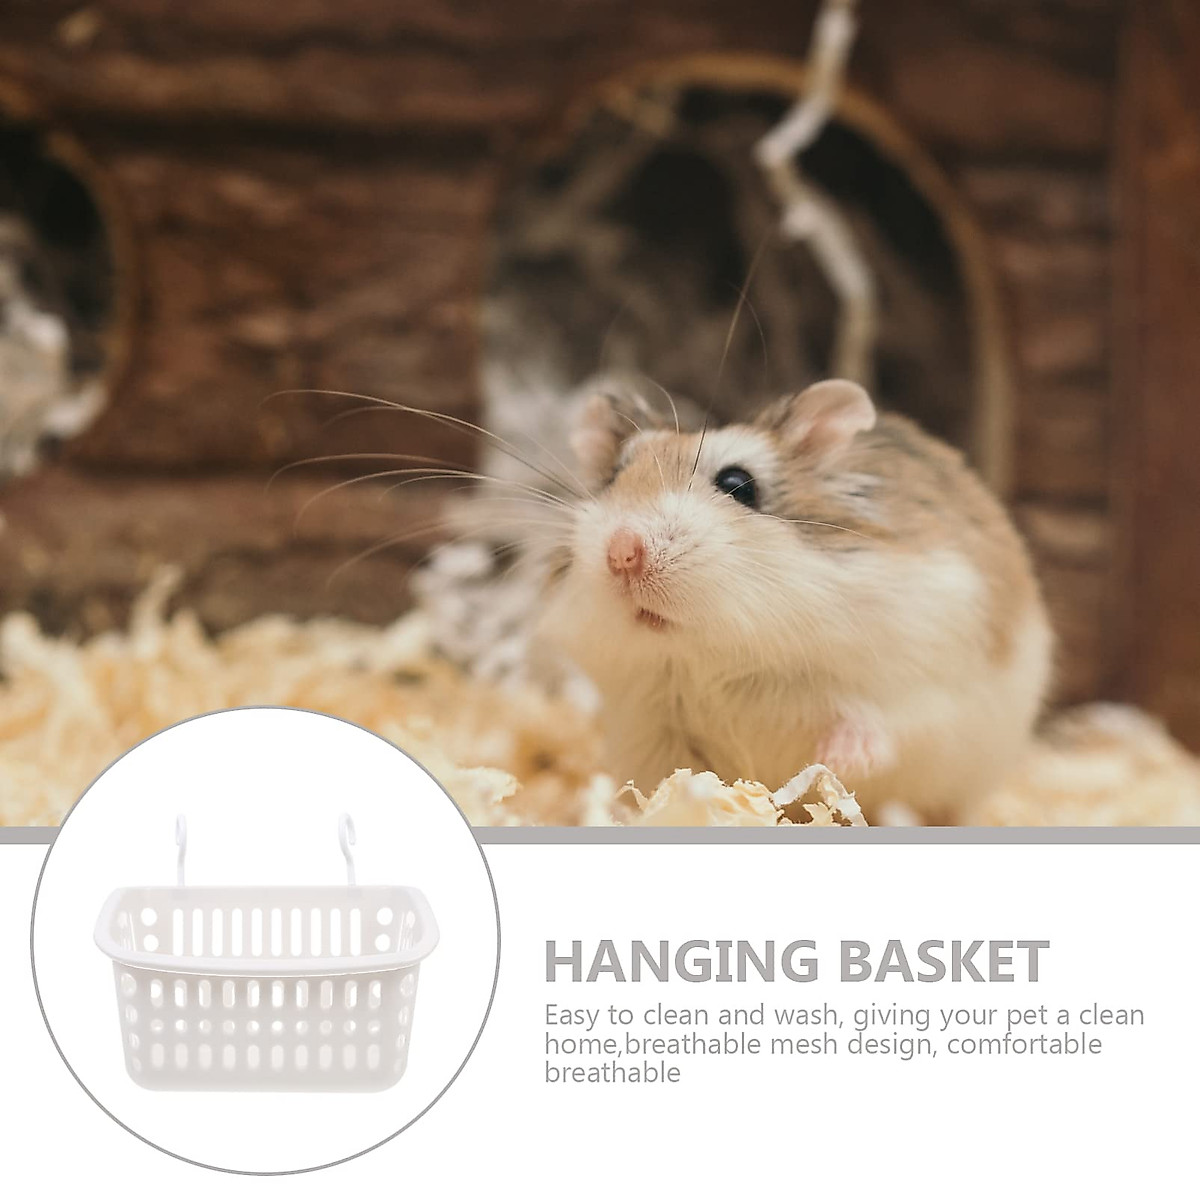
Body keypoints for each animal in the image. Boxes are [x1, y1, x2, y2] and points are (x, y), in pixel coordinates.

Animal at [536, 379, 1053, 823]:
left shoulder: (918, 683)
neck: (716, 655)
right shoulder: (652, 727)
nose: (622, 553)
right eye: (613, 478)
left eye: (738, 484)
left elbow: (879, 723)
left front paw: (835, 762)